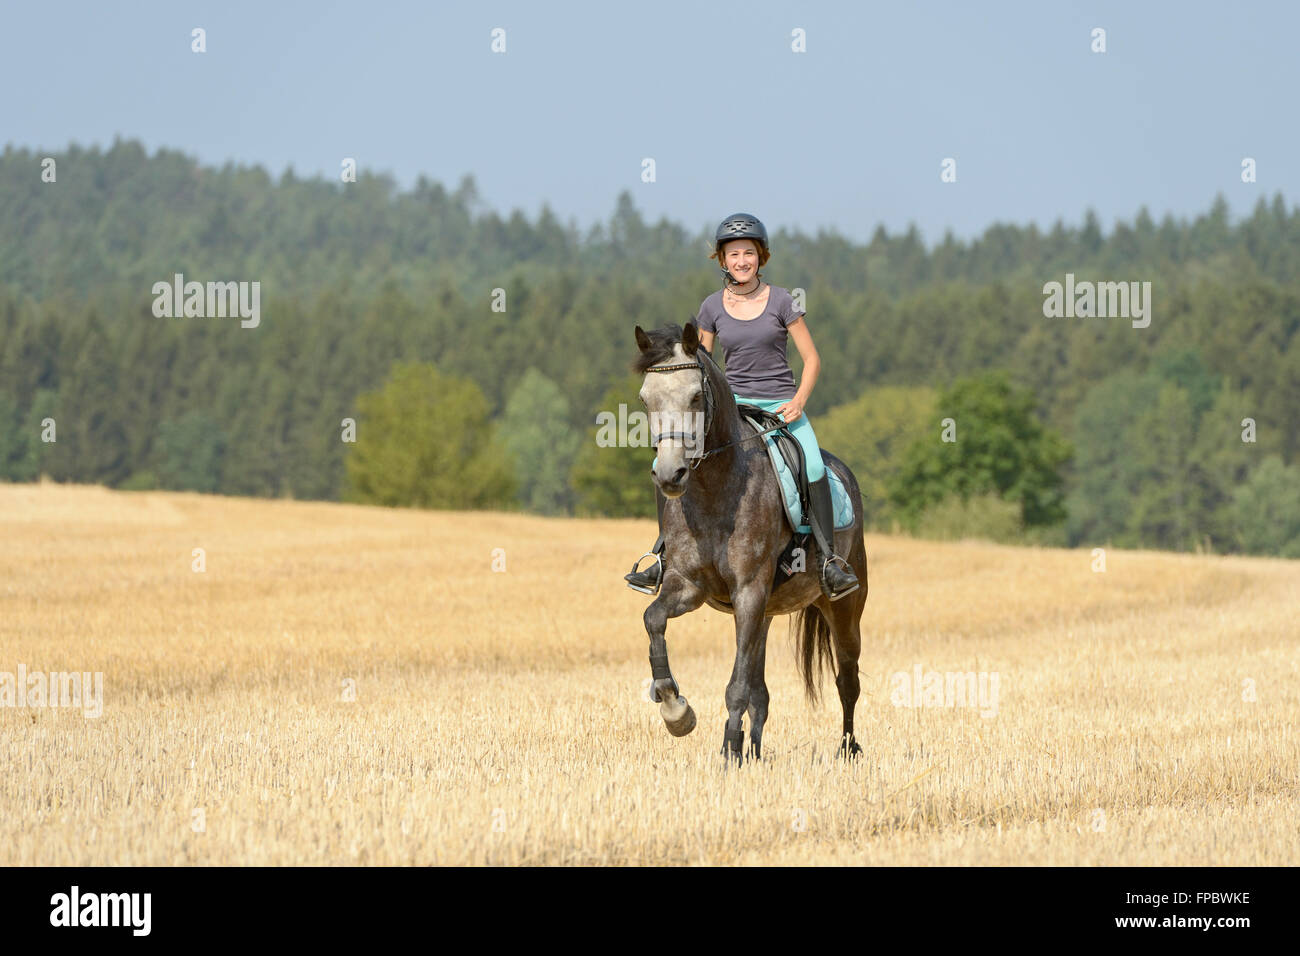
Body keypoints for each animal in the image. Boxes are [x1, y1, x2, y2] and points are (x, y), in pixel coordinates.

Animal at [631, 321, 869, 765]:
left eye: (695, 396)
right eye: (645, 399)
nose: (670, 475)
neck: (715, 486)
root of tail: (842, 469)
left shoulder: (748, 591)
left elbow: (737, 685)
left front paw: (727, 751)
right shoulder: (688, 585)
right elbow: (653, 620)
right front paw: (676, 712)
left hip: (843, 606)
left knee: (847, 679)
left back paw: (848, 748)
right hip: (767, 612)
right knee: (763, 692)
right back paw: (753, 750)